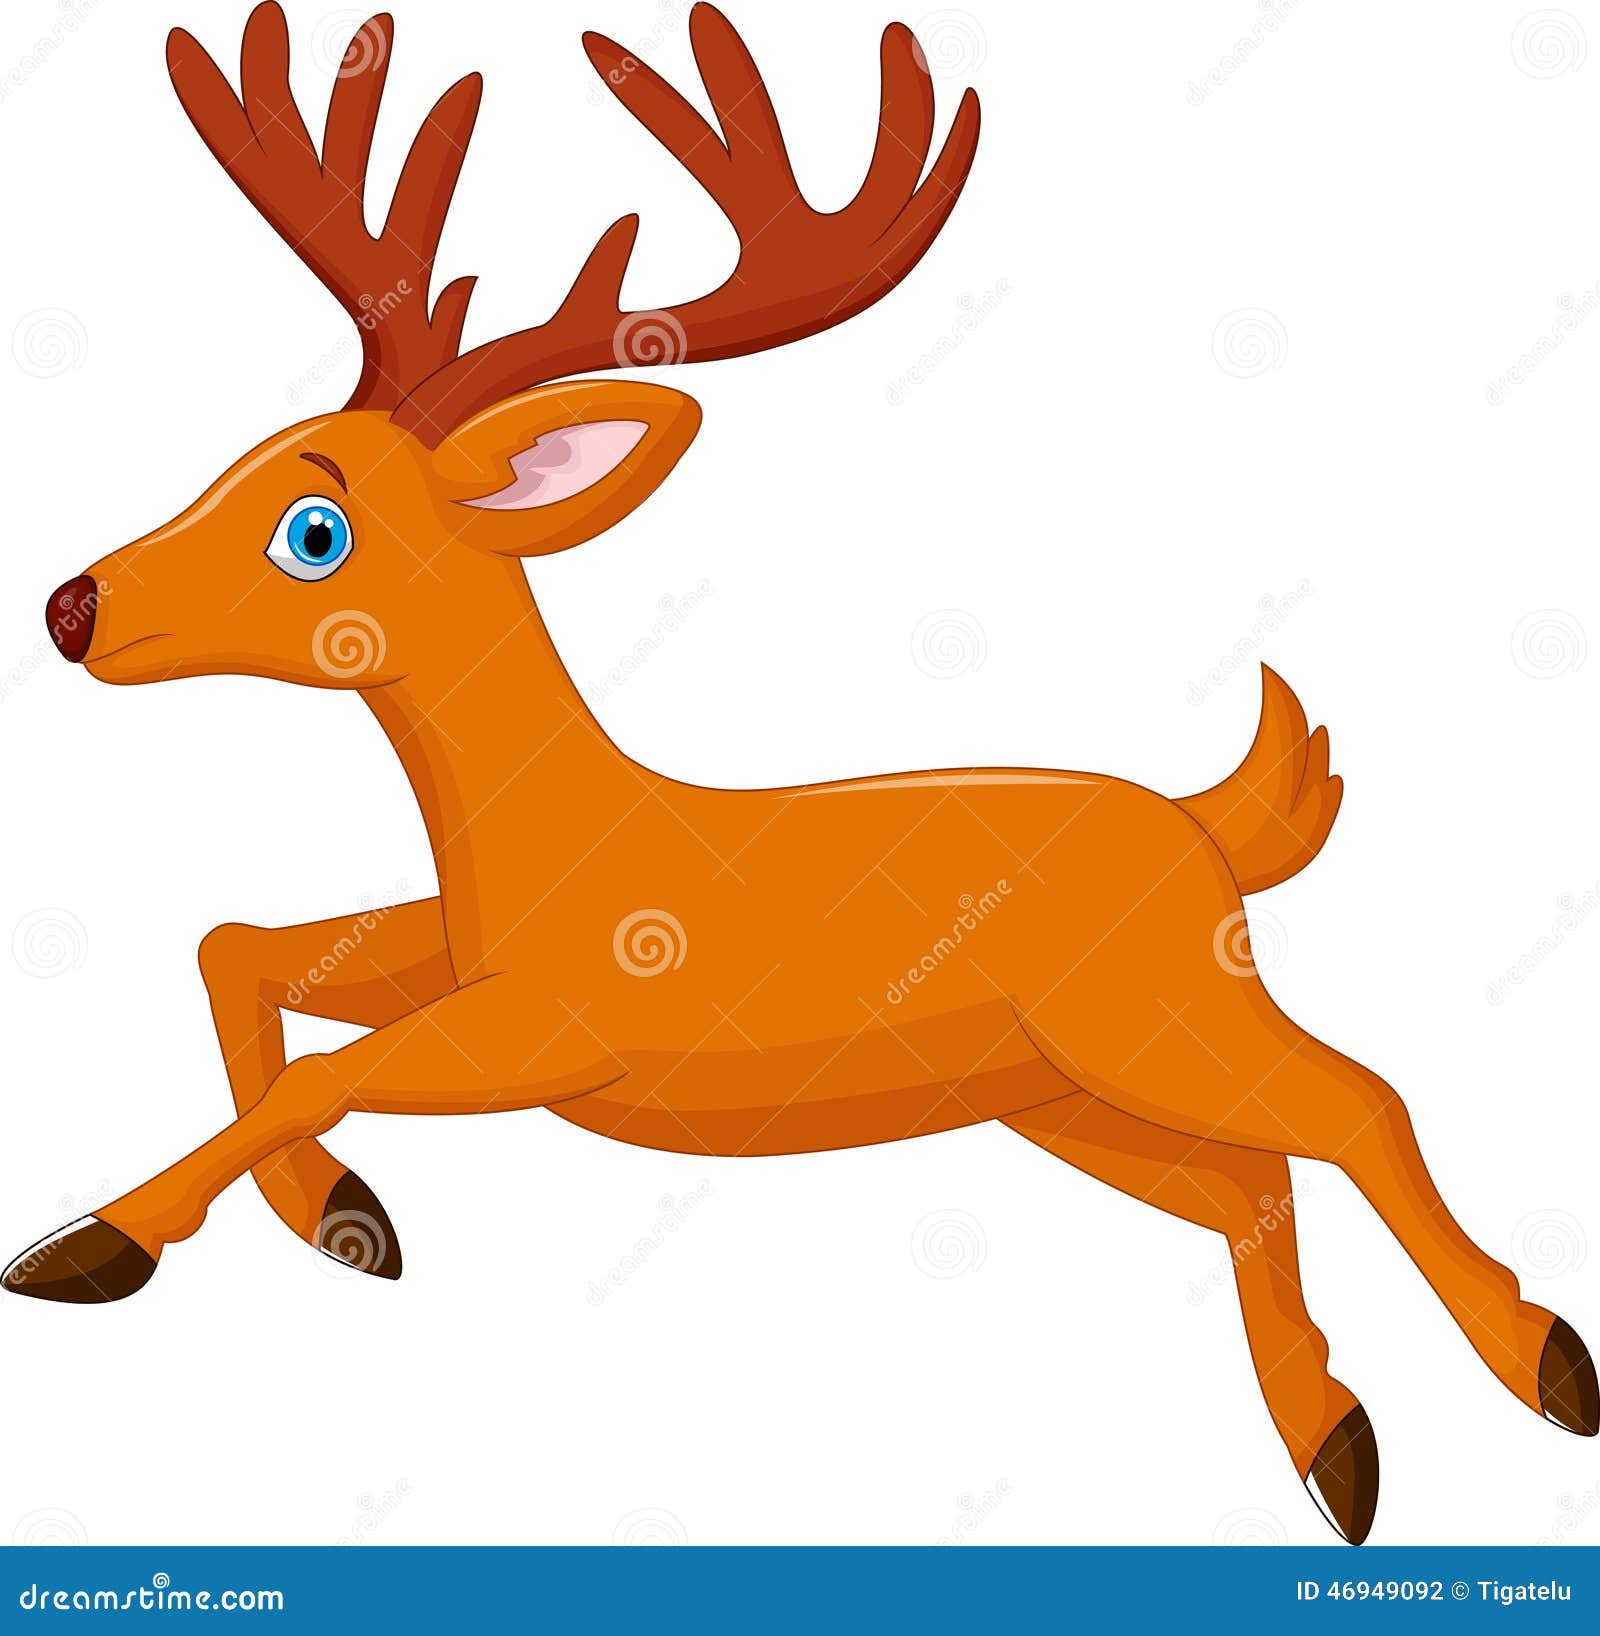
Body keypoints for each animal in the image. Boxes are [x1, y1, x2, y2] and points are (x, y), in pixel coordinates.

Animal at [6, 1, 1594, 1548]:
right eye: (243, 451)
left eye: (315, 529)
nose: (74, 605)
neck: (538, 846)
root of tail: (1210, 826)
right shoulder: (455, 960)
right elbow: (237, 949)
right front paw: (342, 1216)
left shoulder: (565, 1023)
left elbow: (320, 1072)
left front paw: (90, 1245)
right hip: (1060, 1087)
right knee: (1244, 1183)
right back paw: (1336, 1445)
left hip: (1160, 1009)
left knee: (1358, 1103)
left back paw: (1545, 1366)